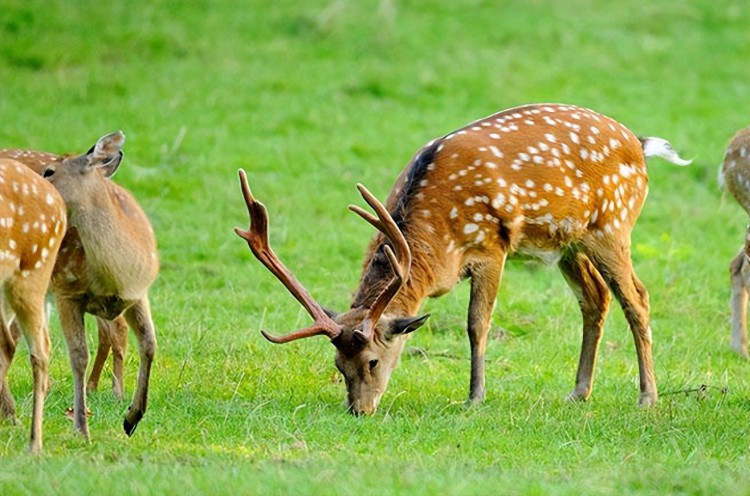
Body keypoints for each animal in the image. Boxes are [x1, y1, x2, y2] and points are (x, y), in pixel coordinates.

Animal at [236, 103, 692, 414]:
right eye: (337, 364)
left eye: (372, 361)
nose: (359, 410)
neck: (439, 243)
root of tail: (640, 144)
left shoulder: (492, 248)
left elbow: (477, 324)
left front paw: (474, 396)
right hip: (567, 241)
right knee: (595, 298)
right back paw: (578, 392)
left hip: (612, 225)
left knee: (637, 297)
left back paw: (647, 397)